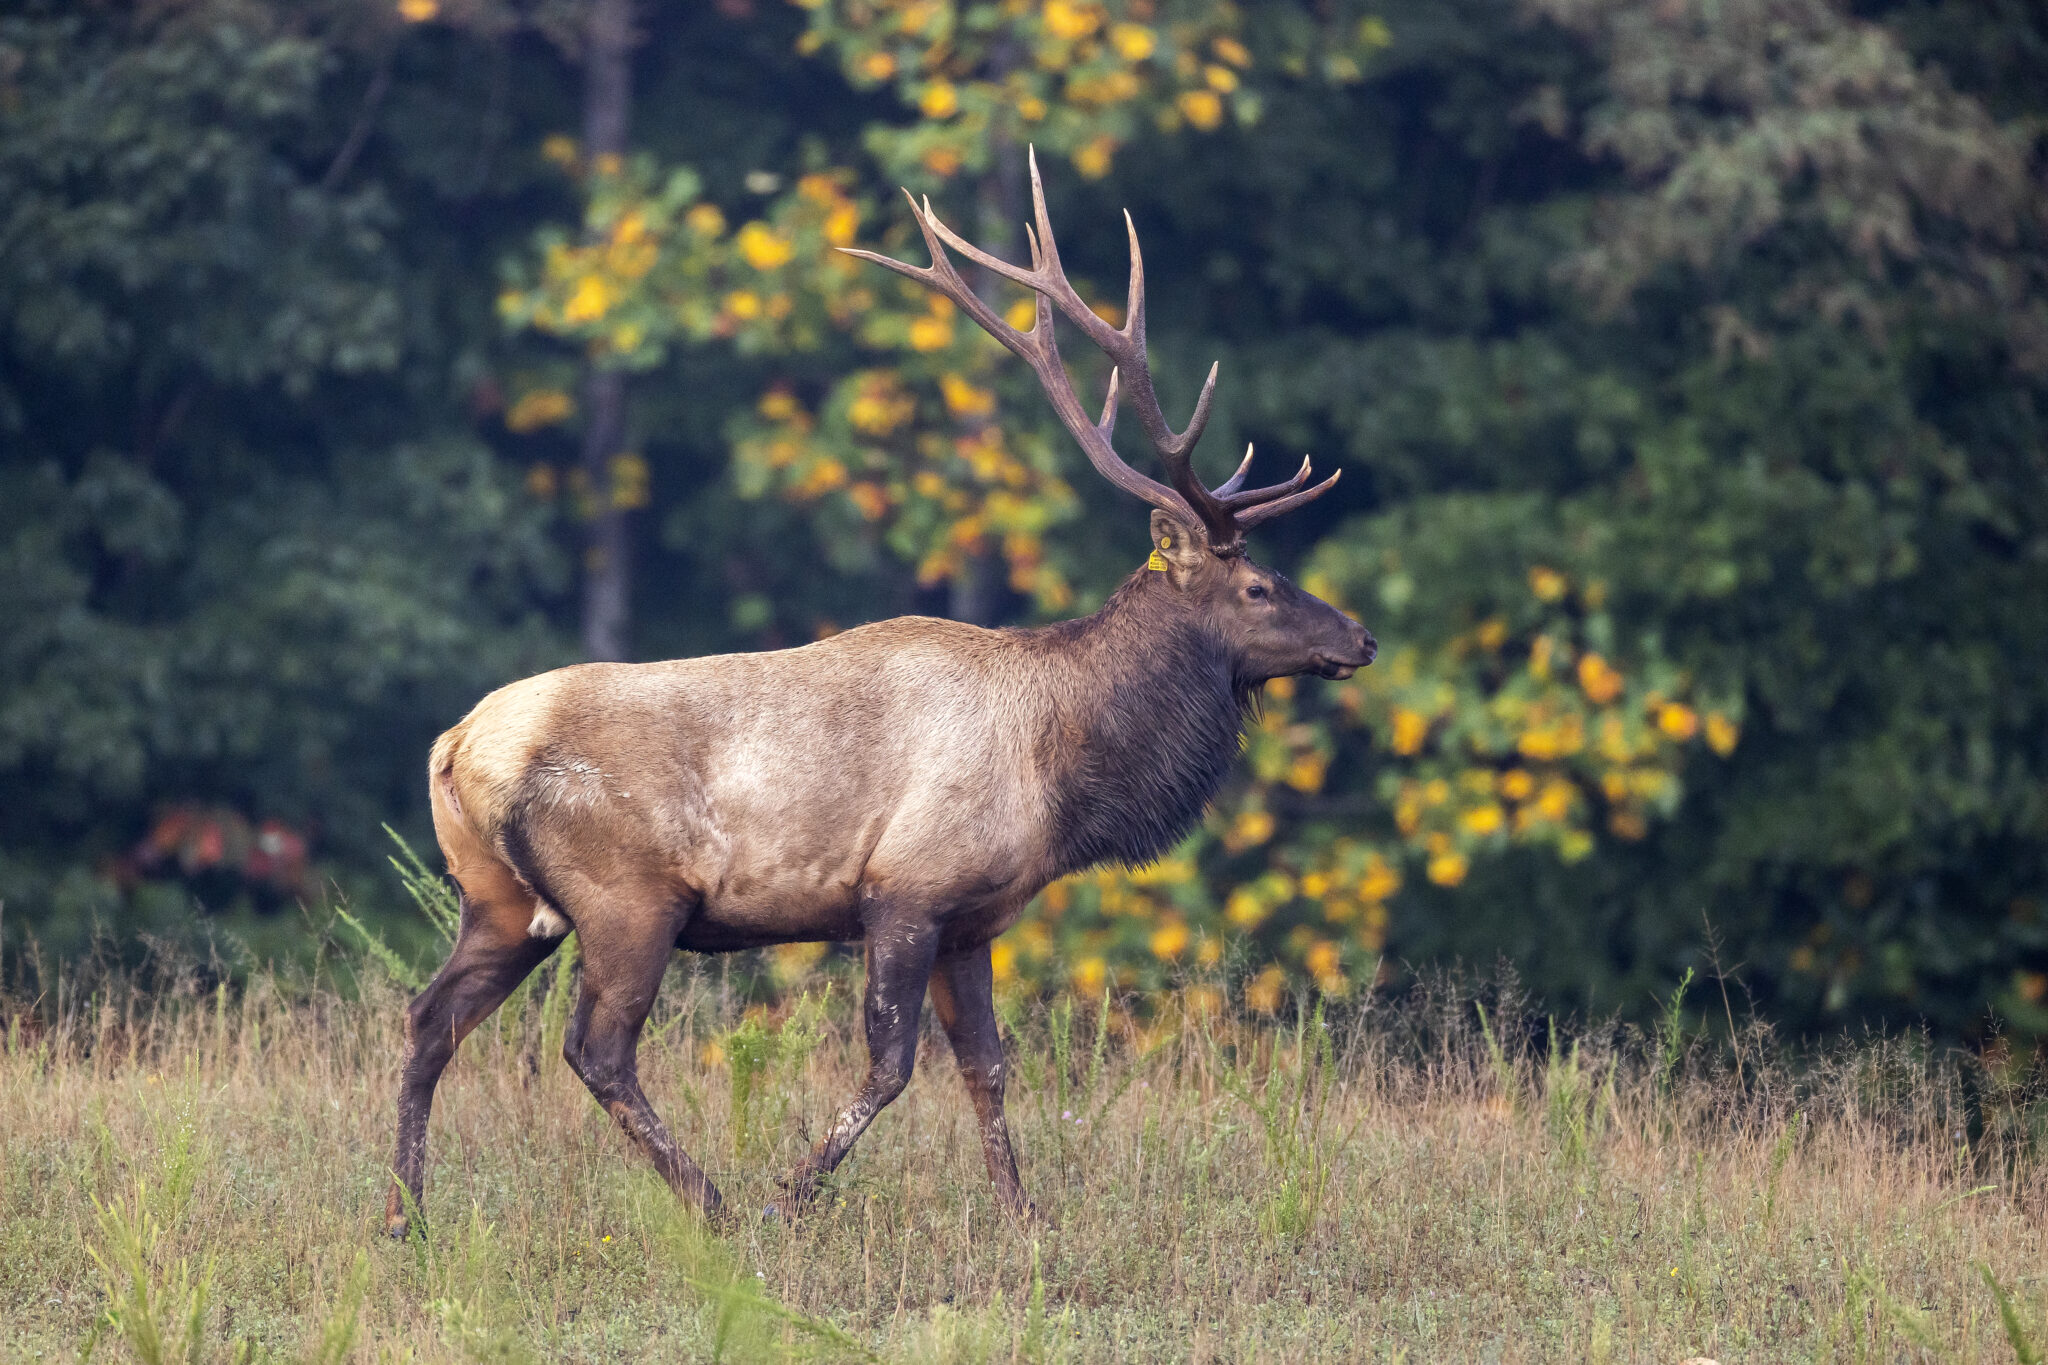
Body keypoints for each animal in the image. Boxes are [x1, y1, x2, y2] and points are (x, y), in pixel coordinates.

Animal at [384, 150, 1375, 1239]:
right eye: (1257, 588)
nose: (1359, 637)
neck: (1062, 769)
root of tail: (452, 748)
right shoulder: (907, 886)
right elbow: (892, 1066)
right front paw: (790, 1198)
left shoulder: (974, 917)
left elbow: (988, 1065)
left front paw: (1023, 1217)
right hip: (624, 896)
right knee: (595, 1049)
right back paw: (713, 1205)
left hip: (497, 897)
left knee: (429, 1019)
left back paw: (404, 1215)